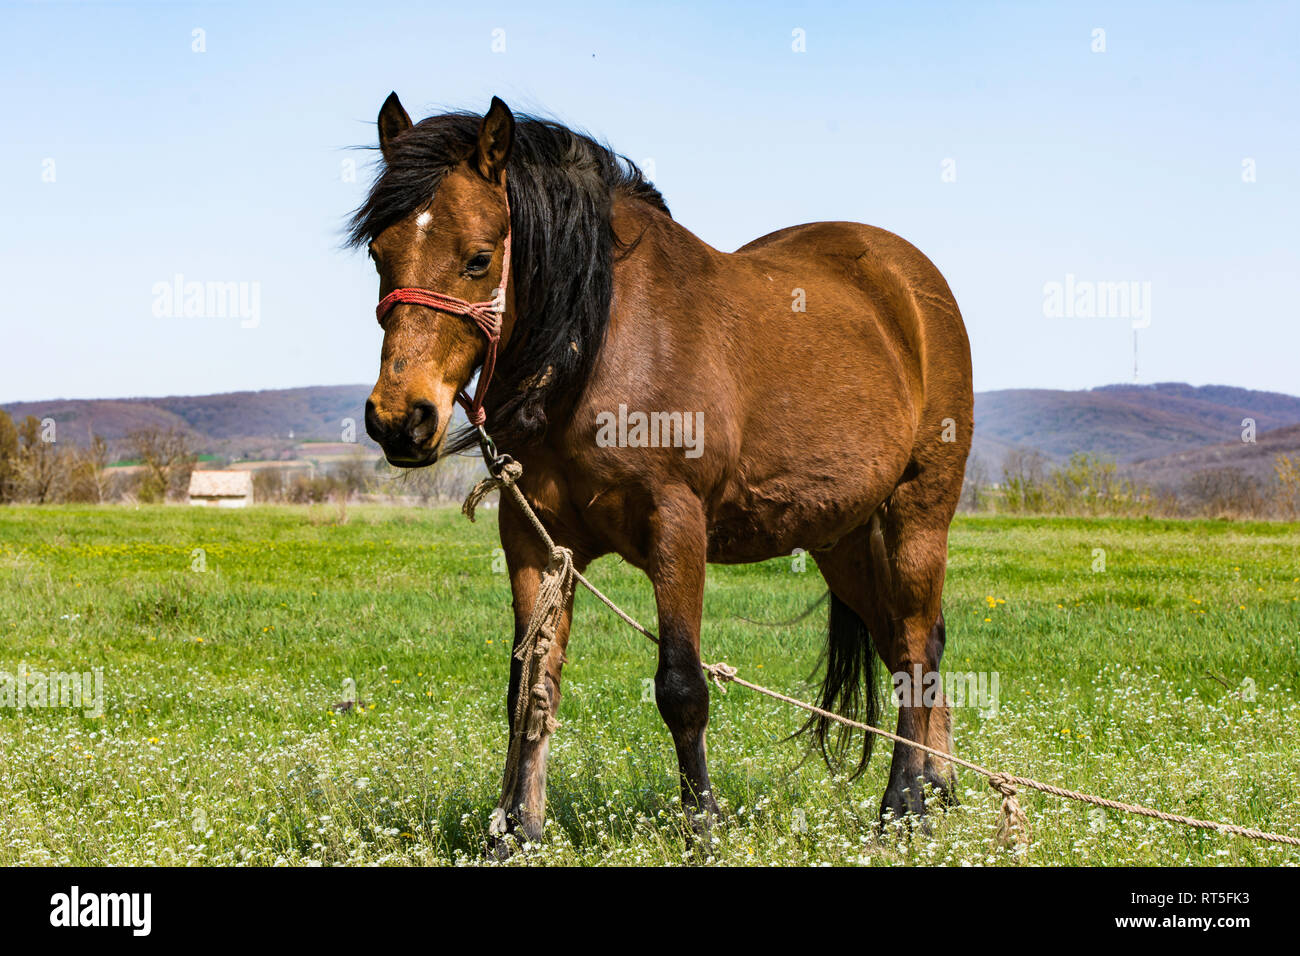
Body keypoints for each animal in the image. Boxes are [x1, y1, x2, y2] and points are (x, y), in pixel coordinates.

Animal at [353, 94, 973, 848]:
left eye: (478, 257)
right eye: (379, 254)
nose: (399, 420)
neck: (600, 342)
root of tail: (911, 280)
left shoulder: (677, 526)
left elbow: (681, 686)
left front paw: (701, 825)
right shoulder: (533, 537)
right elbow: (530, 683)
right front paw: (517, 828)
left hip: (919, 510)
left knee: (915, 643)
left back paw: (903, 803)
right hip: (841, 537)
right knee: (906, 641)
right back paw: (938, 786)